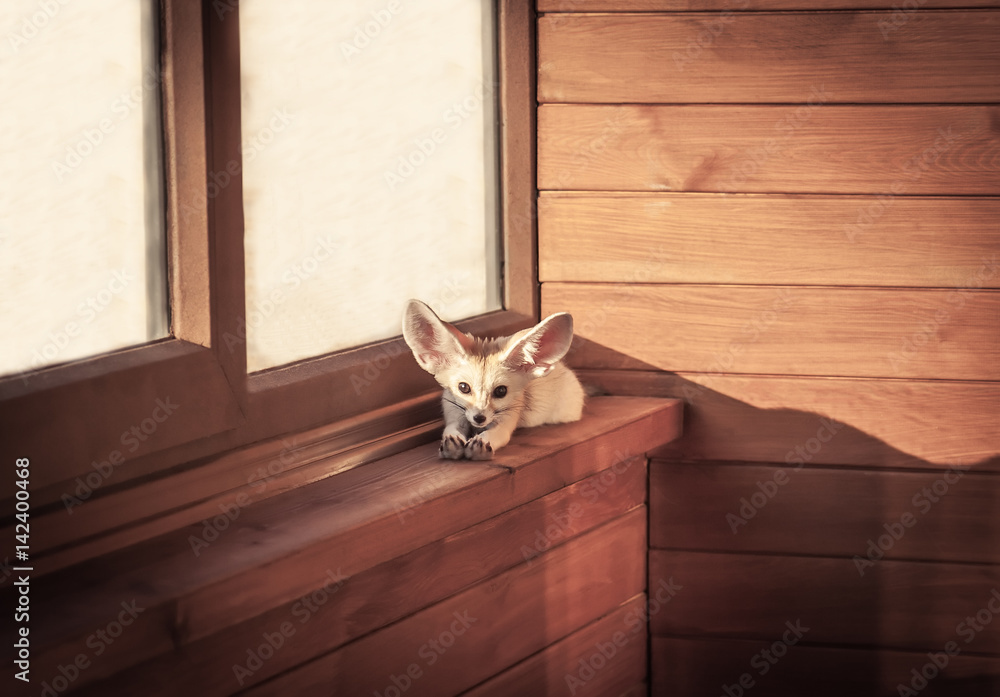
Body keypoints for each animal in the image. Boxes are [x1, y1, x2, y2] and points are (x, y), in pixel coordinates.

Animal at [402, 299, 585, 460]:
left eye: (501, 391)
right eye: (463, 388)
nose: (479, 418)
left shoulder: (506, 421)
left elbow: (493, 434)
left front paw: (480, 445)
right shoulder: (454, 412)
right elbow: (450, 430)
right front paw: (451, 444)